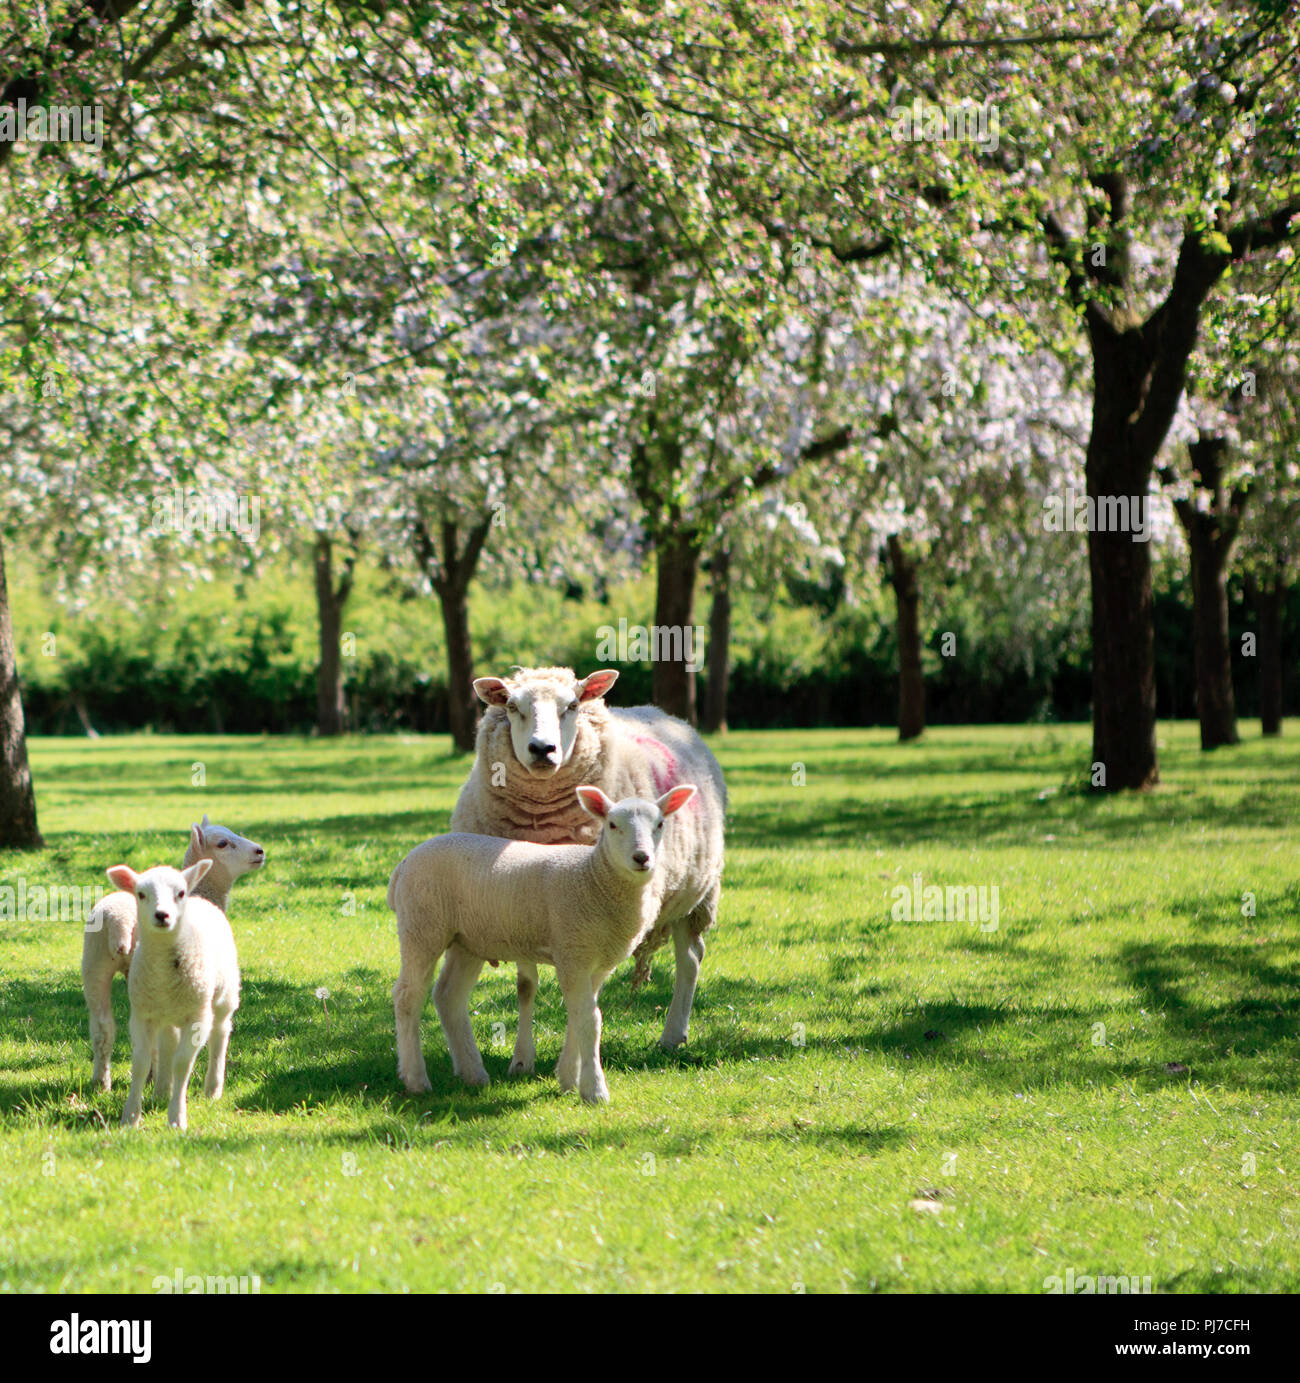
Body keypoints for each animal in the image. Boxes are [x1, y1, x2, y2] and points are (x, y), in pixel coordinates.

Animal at [82, 815, 263, 1091]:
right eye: (222, 843)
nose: (259, 851)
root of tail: (117, 922)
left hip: (94, 962)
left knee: (102, 1027)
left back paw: (101, 1082)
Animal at [111, 859, 241, 1131]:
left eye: (180, 893)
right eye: (141, 894)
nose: (162, 915)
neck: (162, 969)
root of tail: (201, 899)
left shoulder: (197, 1017)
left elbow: (182, 1064)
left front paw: (177, 1118)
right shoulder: (142, 1015)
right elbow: (141, 1063)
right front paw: (130, 1117)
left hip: (224, 995)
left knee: (221, 1033)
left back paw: (213, 1088)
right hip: (168, 1011)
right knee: (168, 1042)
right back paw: (162, 1090)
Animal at [391, 783, 698, 1104]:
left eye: (659, 824)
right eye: (612, 825)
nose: (642, 858)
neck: (593, 878)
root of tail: (404, 863)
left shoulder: (596, 962)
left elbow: (579, 1017)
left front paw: (568, 1080)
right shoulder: (572, 954)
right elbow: (590, 1020)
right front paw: (595, 1090)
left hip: (467, 941)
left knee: (449, 996)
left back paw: (473, 1073)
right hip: (421, 927)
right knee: (407, 997)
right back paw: (416, 1079)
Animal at [449, 666, 725, 1070]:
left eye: (573, 705)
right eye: (512, 706)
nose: (542, 749)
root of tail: (662, 713)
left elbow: (584, 999)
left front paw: (572, 1063)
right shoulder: (517, 909)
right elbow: (526, 986)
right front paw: (522, 1060)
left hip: (694, 895)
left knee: (689, 959)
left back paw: (672, 1035)